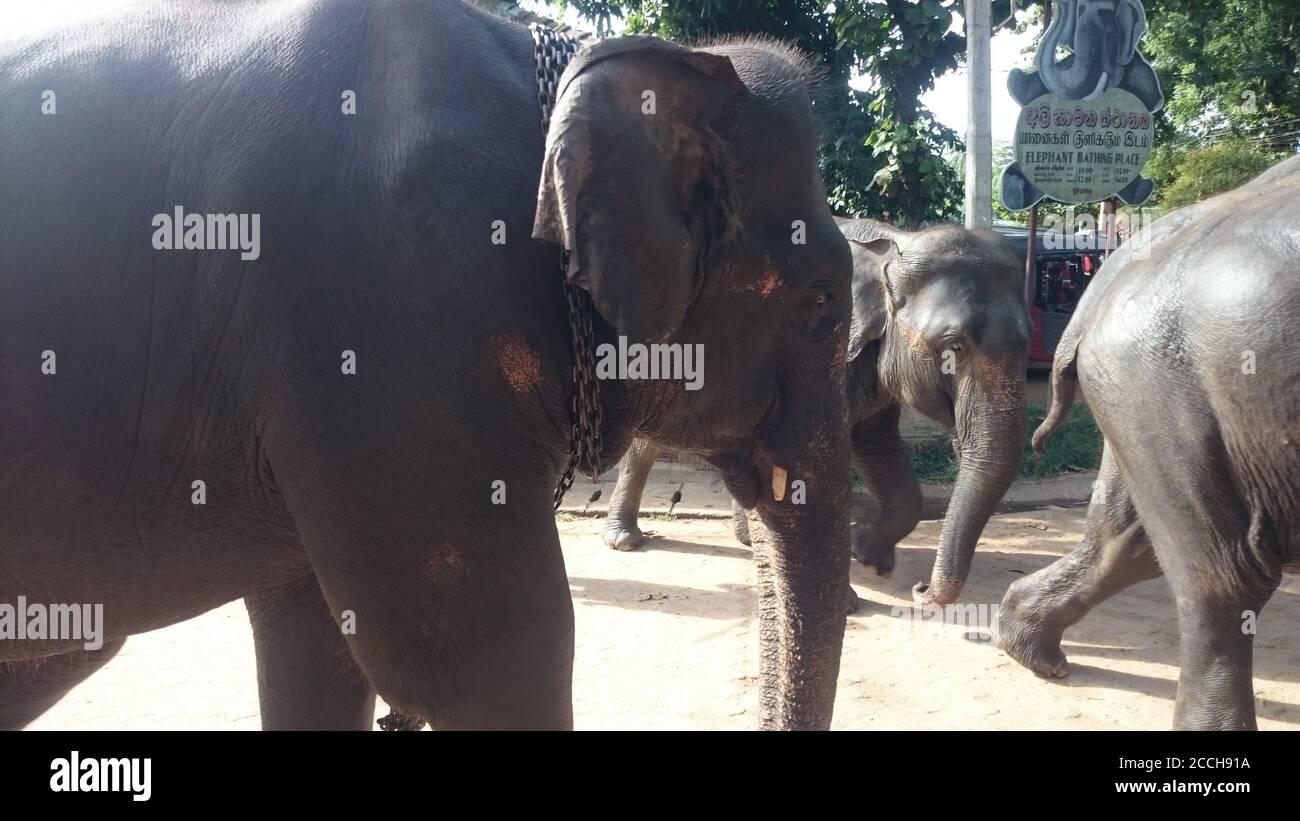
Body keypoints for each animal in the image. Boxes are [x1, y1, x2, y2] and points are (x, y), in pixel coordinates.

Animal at [602, 219, 1031, 605]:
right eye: (954, 346)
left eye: (1027, 340)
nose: (921, 591)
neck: (894, 242)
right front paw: (848, 598)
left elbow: (876, 443)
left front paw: (867, 554)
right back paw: (624, 541)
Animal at [993, 155, 1300, 730]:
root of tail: (1108, 281)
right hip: (1161, 383)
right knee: (1227, 574)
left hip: (1140, 387)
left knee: (1124, 538)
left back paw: (1031, 652)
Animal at [1001, 0, 1164, 210]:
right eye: (1079, 11)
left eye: (1106, 14)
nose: (1060, 6)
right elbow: (1025, 91)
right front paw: (1017, 79)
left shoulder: (1141, 72)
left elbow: (1152, 100)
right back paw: (1015, 187)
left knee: (1139, 187)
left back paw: (1142, 189)